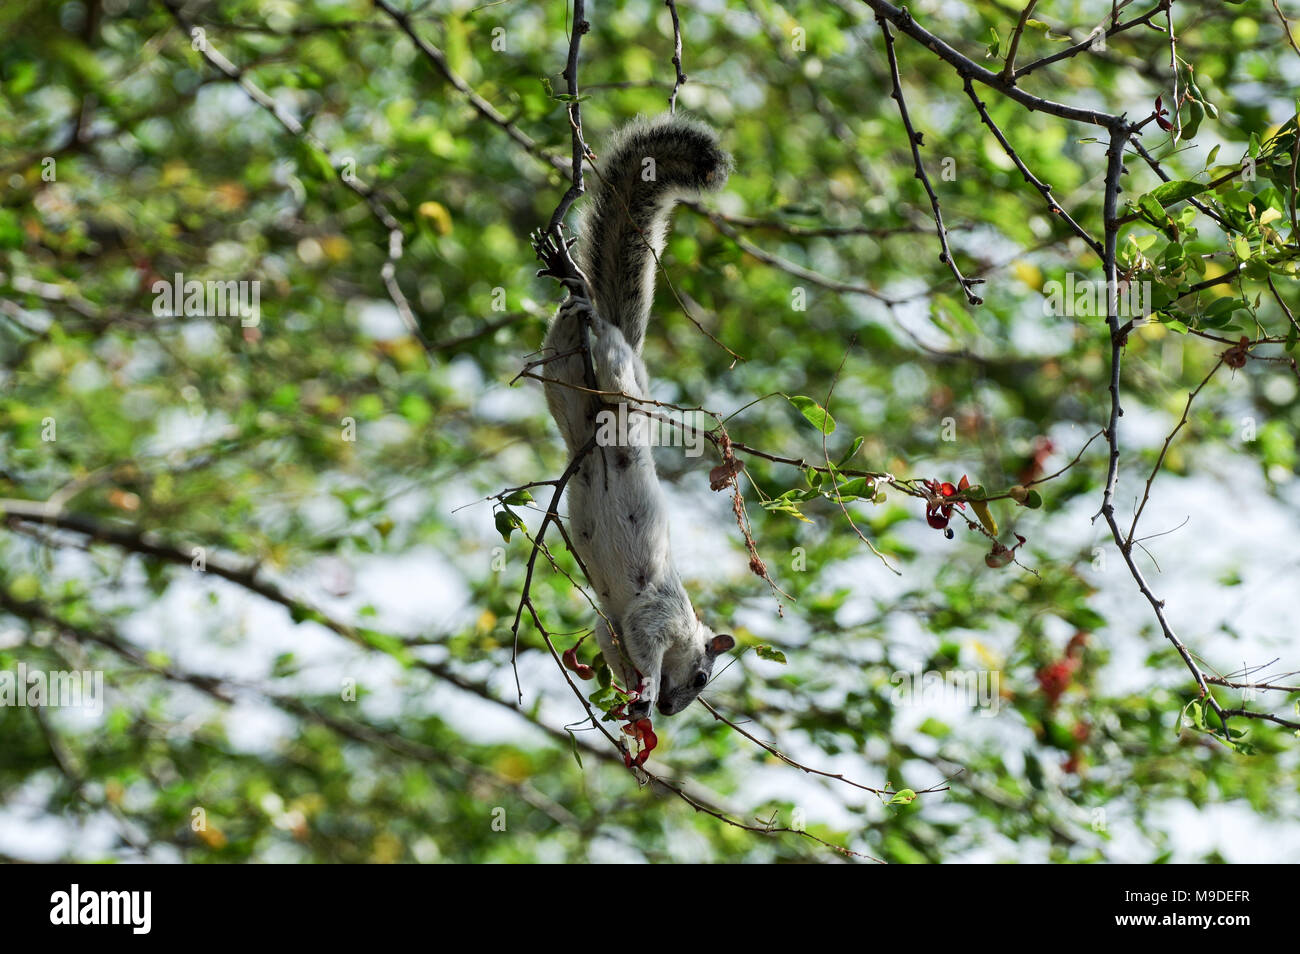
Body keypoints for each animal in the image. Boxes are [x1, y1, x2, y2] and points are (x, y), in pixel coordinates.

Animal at [541, 113, 735, 719]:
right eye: (702, 677)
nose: (672, 711)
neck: (687, 626)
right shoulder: (657, 614)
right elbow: (646, 649)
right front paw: (646, 689)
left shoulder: (614, 628)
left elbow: (612, 643)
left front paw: (633, 697)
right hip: (618, 381)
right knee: (613, 370)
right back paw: (576, 287)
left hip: (562, 384)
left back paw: (570, 285)